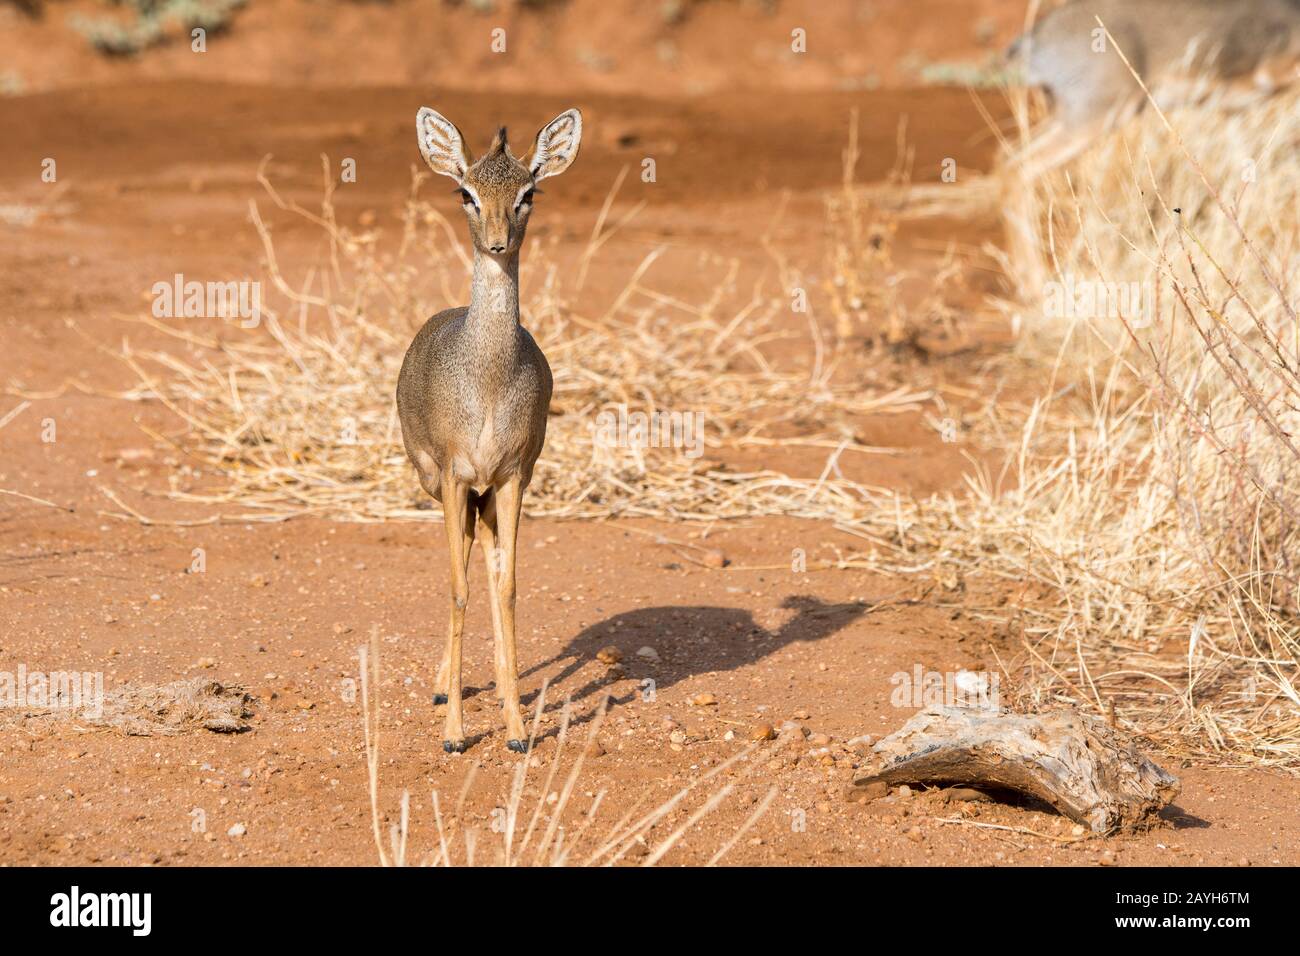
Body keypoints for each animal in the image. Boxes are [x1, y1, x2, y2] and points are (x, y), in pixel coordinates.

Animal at [396, 106, 582, 753]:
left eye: (529, 192)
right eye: (466, 192)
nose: (498, 242)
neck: (491, 381)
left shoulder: (512, 477)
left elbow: (507, 588)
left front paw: (518, 729)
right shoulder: (456, 475)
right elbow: (459, 588)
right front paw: (455, 732)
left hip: (489, 491)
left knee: (489, 553)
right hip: (436, 484)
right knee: (467, 550)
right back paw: (443, 689)